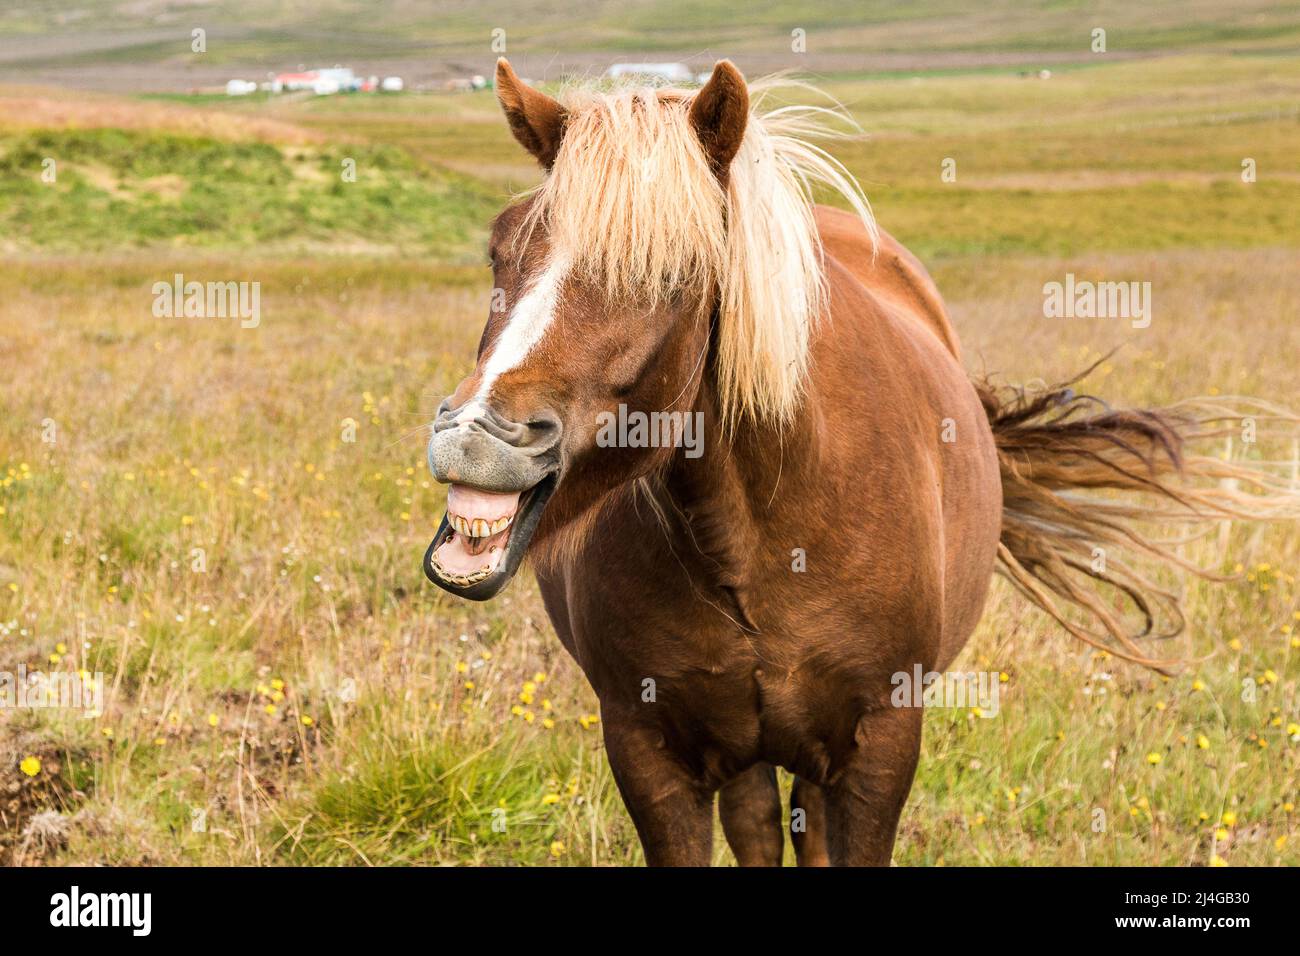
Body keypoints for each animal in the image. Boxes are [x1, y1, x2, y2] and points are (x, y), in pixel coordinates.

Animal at [423, 58, 1297, 865]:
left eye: (671, 272)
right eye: (500, 248)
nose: (477, 437)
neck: (757, 533)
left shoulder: (880, 746)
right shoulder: (646, 749)